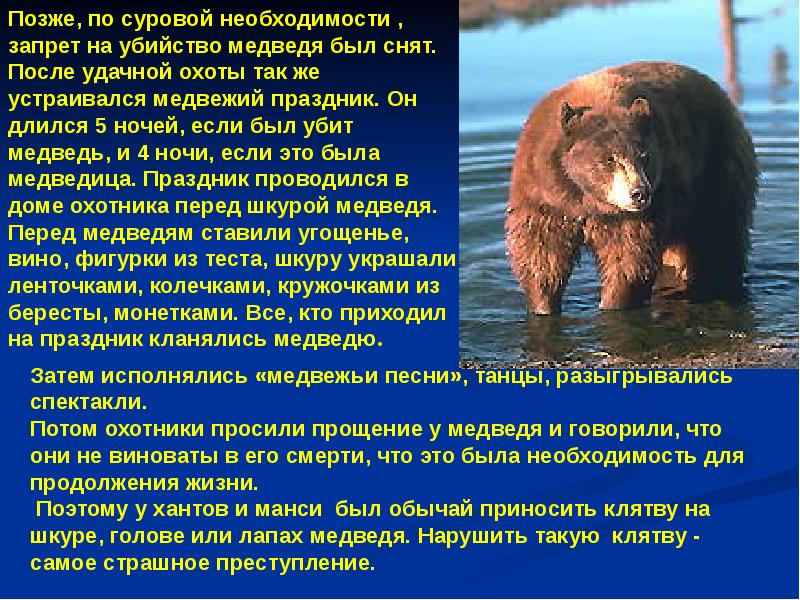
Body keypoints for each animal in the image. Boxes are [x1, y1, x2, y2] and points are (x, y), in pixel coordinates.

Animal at [505, 61, 757, 314]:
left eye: (644, 156)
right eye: (609, 159)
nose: (639, 193)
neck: (585, 199)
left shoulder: (637, 214)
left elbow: (628, 258)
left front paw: (612, 303)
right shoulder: (543, 197)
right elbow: (541, 252)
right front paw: (542, 304)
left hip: (715, 171)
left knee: (719, 236)